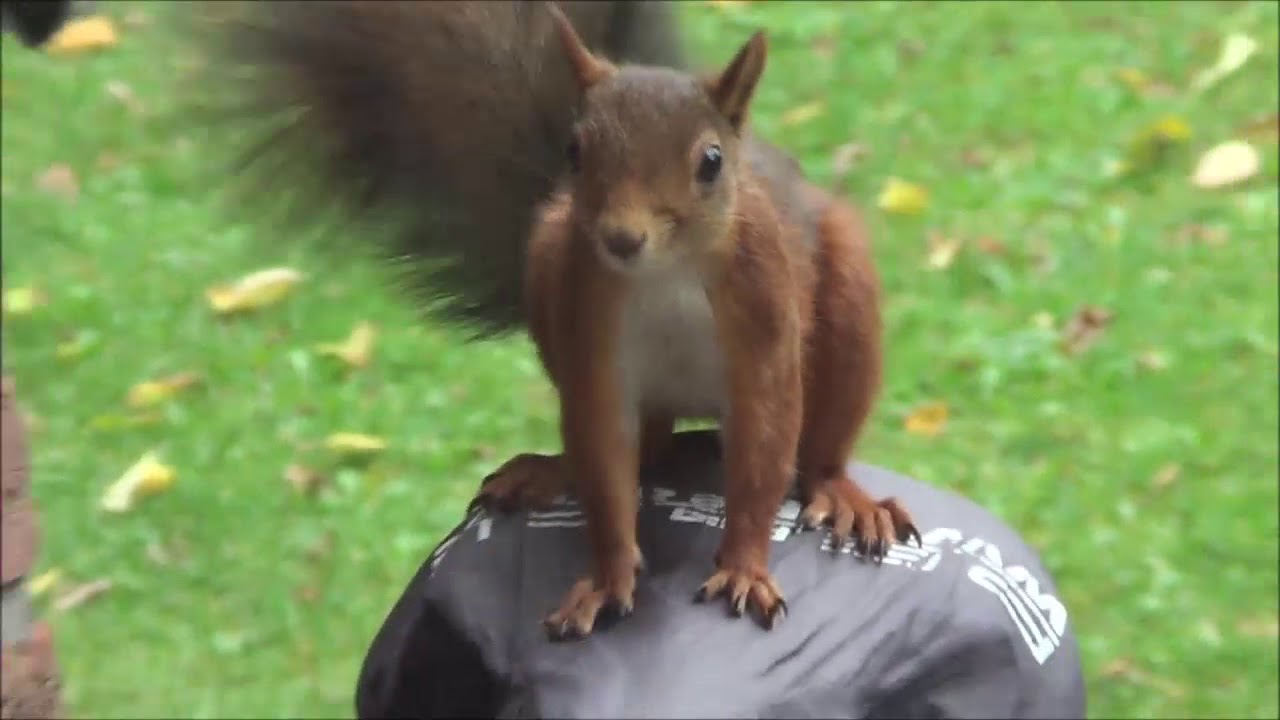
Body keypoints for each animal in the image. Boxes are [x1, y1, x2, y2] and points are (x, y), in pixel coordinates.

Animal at [205, 1, 920, 639]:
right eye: (574, 152)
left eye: (711, 162)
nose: (622, 239)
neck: (665, 274)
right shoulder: (591, 337)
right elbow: (604, 461)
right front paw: (607, 578)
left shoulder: (764, 321)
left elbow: (762, 454)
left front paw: (744, 566)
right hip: (547, 267)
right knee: (644, 446)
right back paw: (552, 470)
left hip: (848, 301)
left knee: (819, 448)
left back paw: (844, 496)